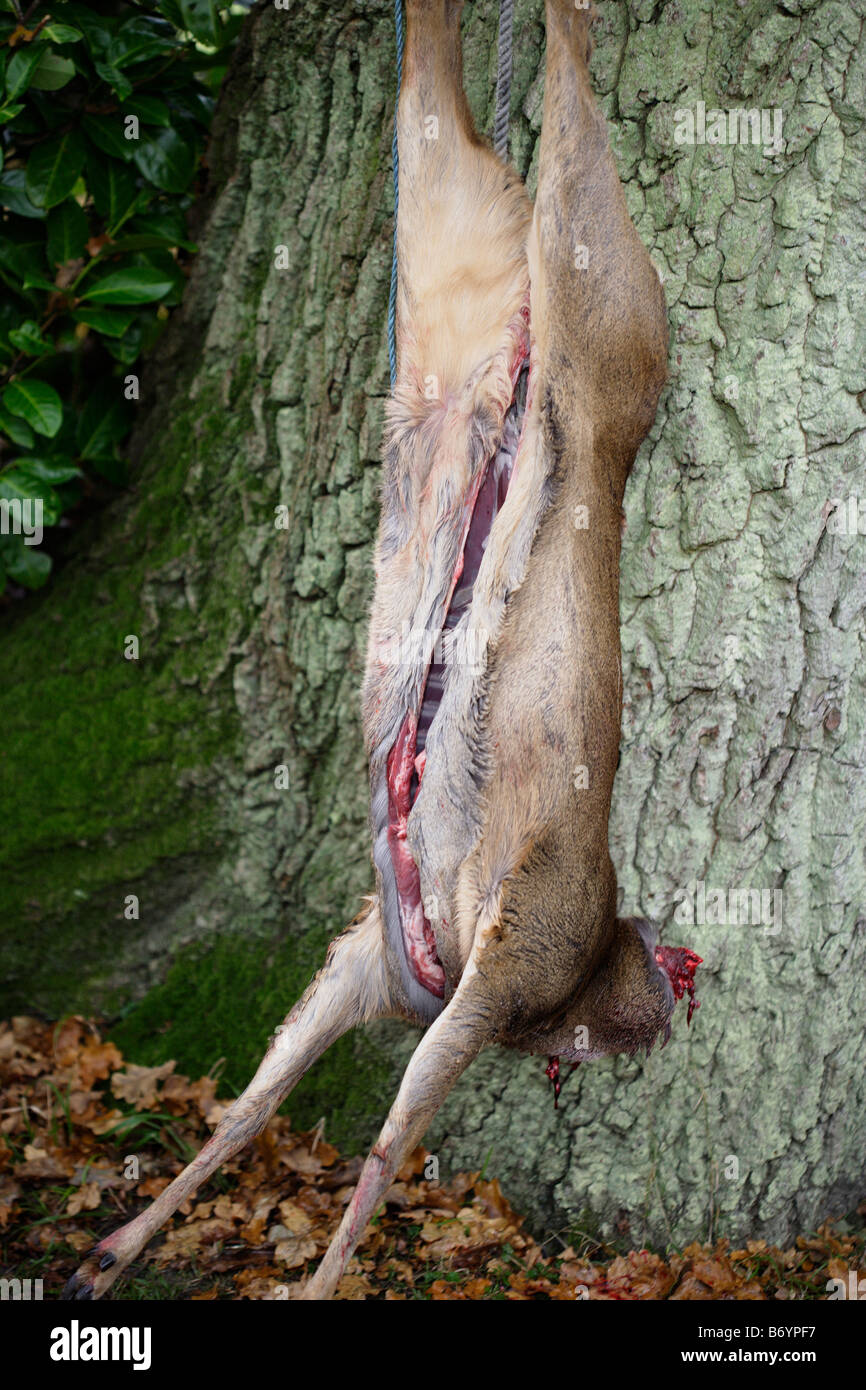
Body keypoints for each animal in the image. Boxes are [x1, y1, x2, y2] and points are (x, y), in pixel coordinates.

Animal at [65, 0, 699, 1302]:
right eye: (660, 977)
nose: (681, 978)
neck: (558, 984)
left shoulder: (365, 953)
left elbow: (251, 1104)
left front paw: (115, 1249)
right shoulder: (514, 946)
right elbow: (386, 1144)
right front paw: (316, 1278)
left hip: (445, 239)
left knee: (431, 84)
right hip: (604, 305)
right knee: (571, 125)